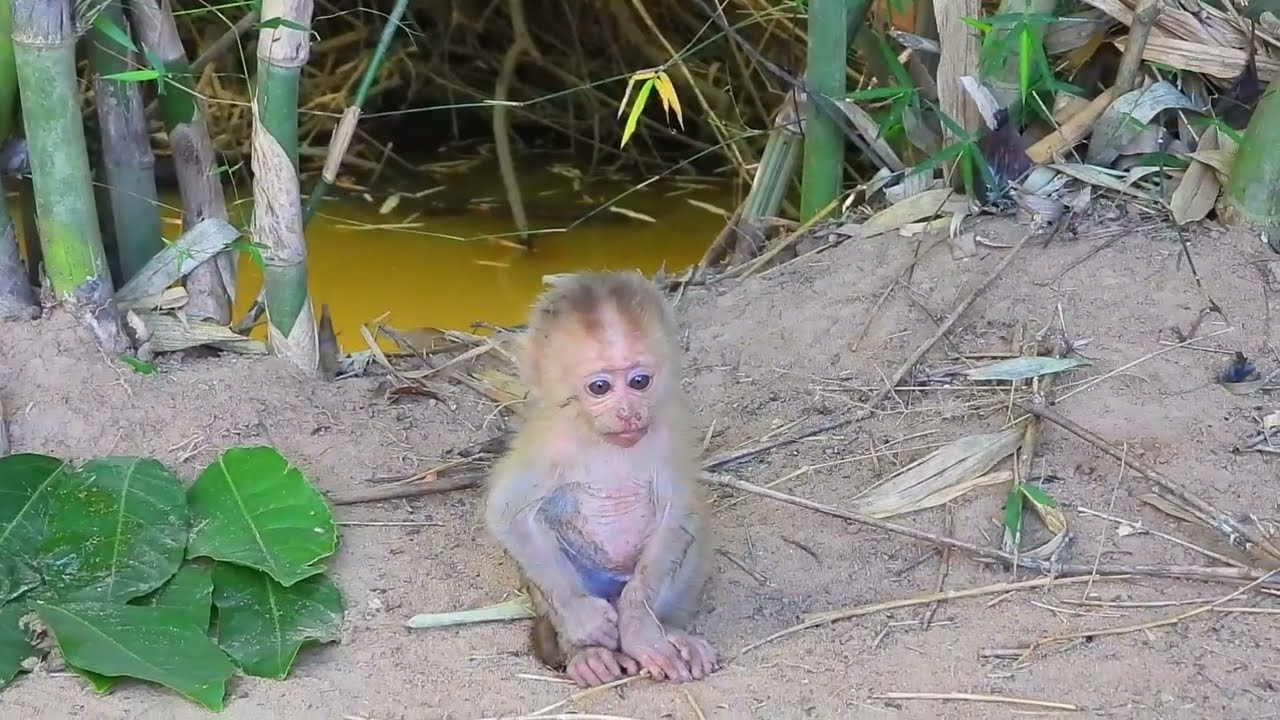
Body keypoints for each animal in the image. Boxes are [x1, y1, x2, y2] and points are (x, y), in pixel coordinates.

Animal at [483, 271, 717, 689]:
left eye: (639, 381)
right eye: (600, 387)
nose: (627, 413)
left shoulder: (669, 427)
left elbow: (679, 511)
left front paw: (641, 628)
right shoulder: (548, 440)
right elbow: (507, 513)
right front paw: (583, 620)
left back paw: (673, 634)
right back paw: (587, 655)